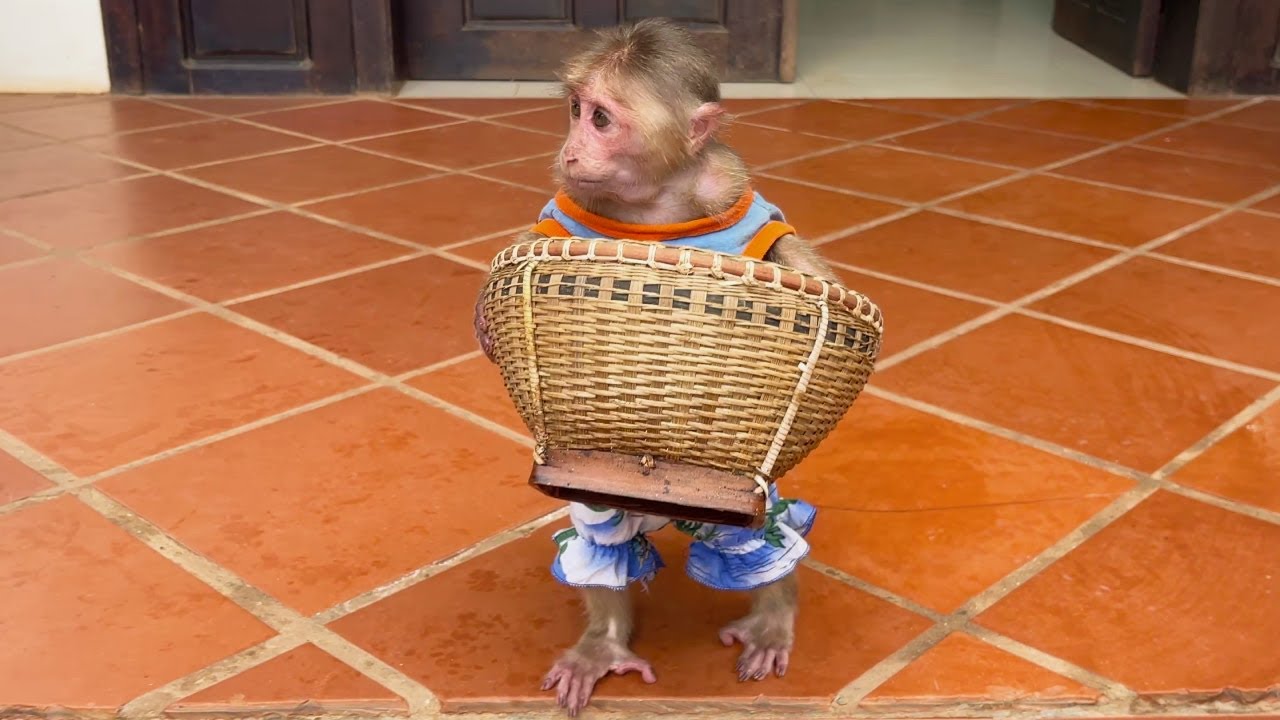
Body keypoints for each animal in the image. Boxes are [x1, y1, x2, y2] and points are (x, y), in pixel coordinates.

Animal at [473, 17, 838, 717]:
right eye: (575, 110)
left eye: (602, 119)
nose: (570, 147)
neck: (652, 205)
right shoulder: (567, 205)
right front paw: (487, 319)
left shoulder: (734, 193)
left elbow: (796, 268)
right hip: (602, 487)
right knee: (600, 531)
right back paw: (604, 645)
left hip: (738, 509)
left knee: (752, 535)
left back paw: (772, 615)